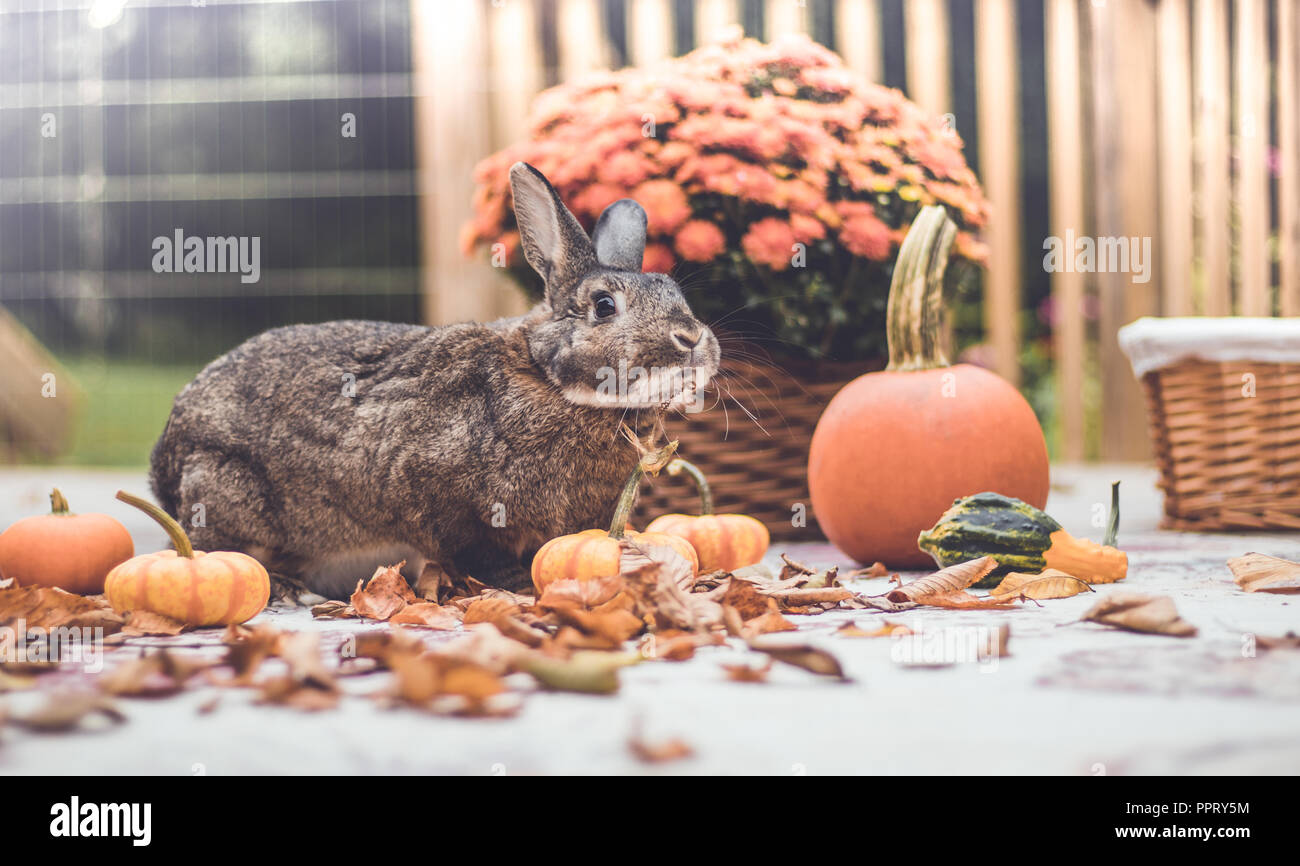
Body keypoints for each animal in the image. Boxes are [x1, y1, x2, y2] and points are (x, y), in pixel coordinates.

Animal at [148, 162, 720, 599]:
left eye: (674, 291)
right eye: (604, 306)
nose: (694, 339)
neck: (549, 380)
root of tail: (166, 461)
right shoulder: (440, 499)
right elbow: (475, 552)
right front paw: (516, 586)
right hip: (228, 493)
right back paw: (287, 589)